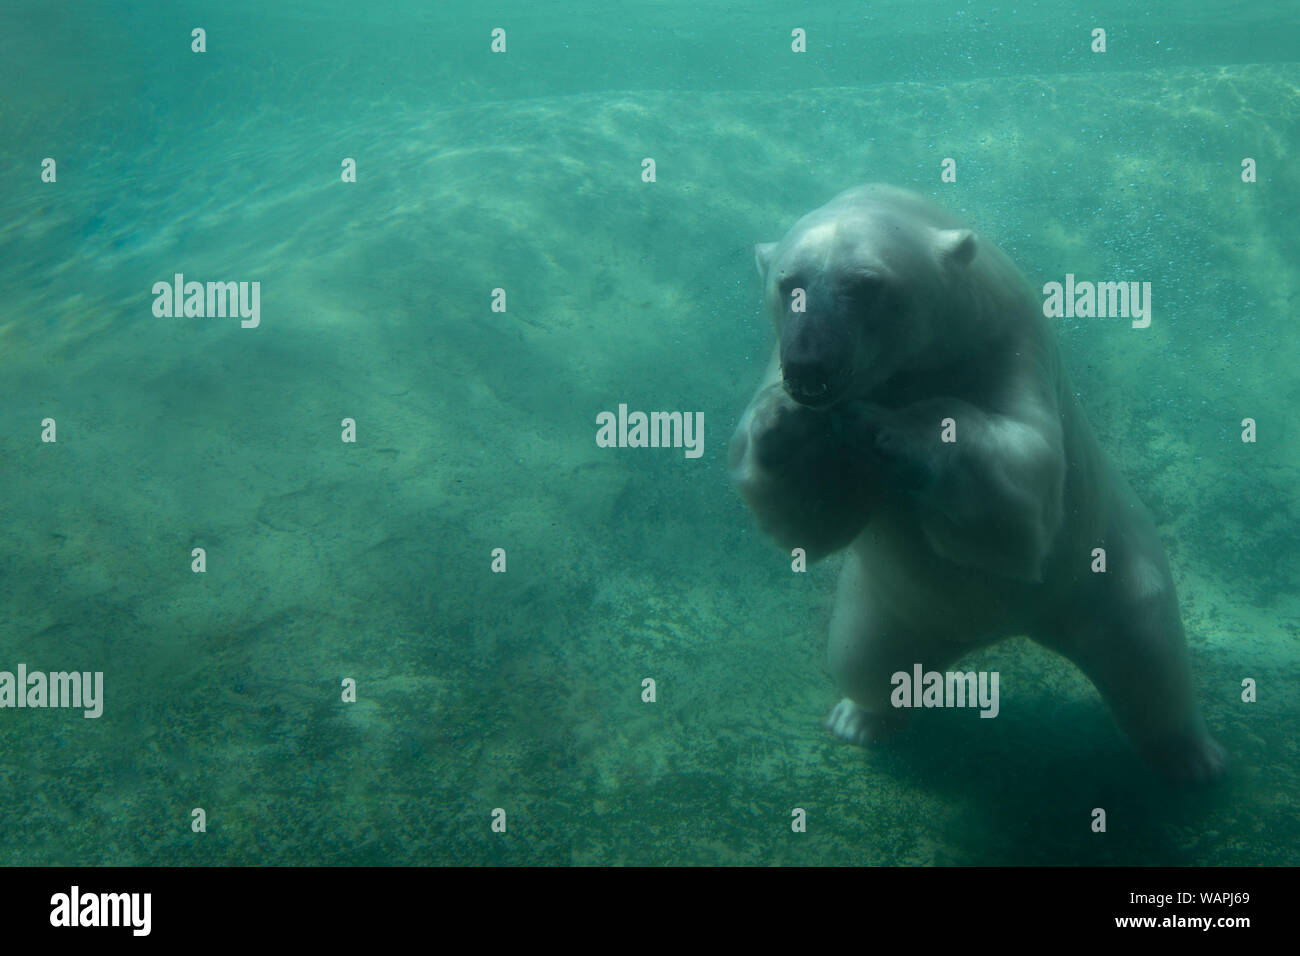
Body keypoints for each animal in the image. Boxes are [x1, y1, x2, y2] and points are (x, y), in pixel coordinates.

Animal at [728, 184, 1225, 783]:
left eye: (865, 284)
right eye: (789, 283)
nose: (809, 367)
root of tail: (1019, 626)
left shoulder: (1002, 341)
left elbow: (1028, 479)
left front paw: (889, 427)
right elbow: (815, 520)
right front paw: (783, 423)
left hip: (1113, 571)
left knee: (1150, 660)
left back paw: (1193, 757)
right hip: (889, 607)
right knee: (864, 658)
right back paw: (858, 719)